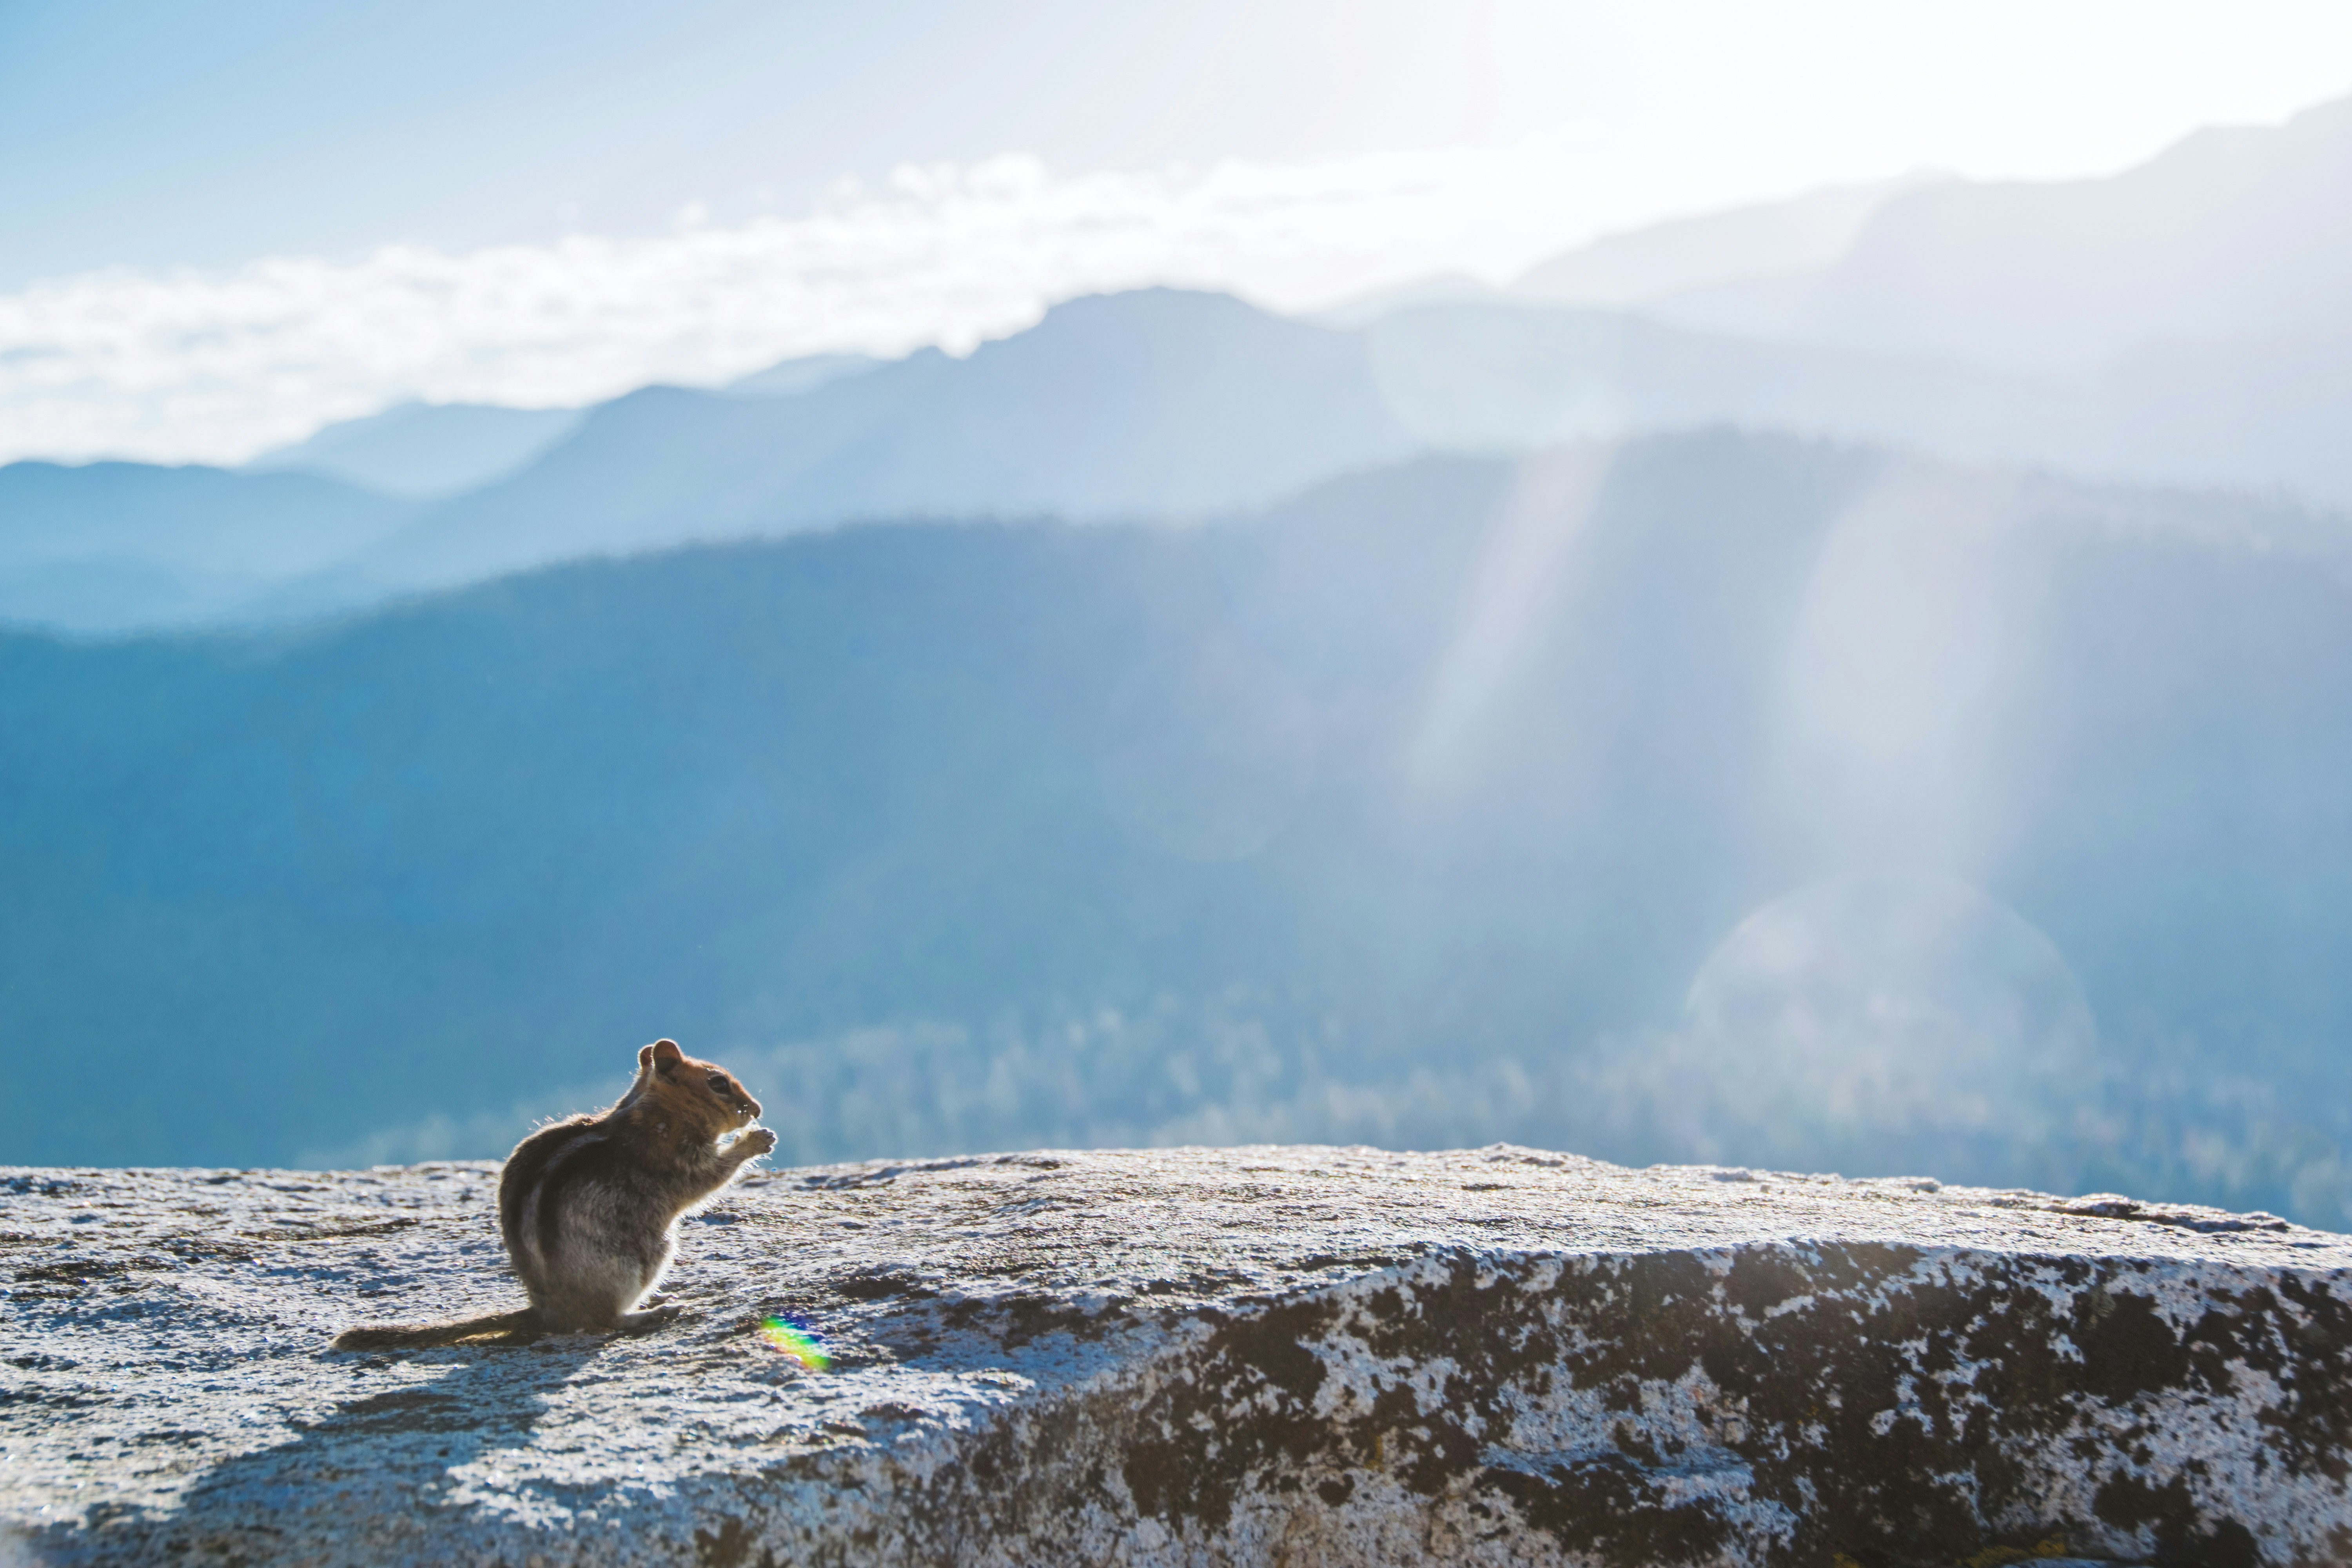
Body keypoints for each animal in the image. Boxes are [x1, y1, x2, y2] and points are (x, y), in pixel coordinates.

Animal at [332, 1039, 776, 1350]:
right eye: (718, 1083)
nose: (756, 1109)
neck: (659, 1111)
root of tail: (548, 1314)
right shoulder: (677, 1161)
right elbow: (708, 1180)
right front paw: (756, 1141)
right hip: (644, 1256)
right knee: (603, 1321)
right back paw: (656, 1311)